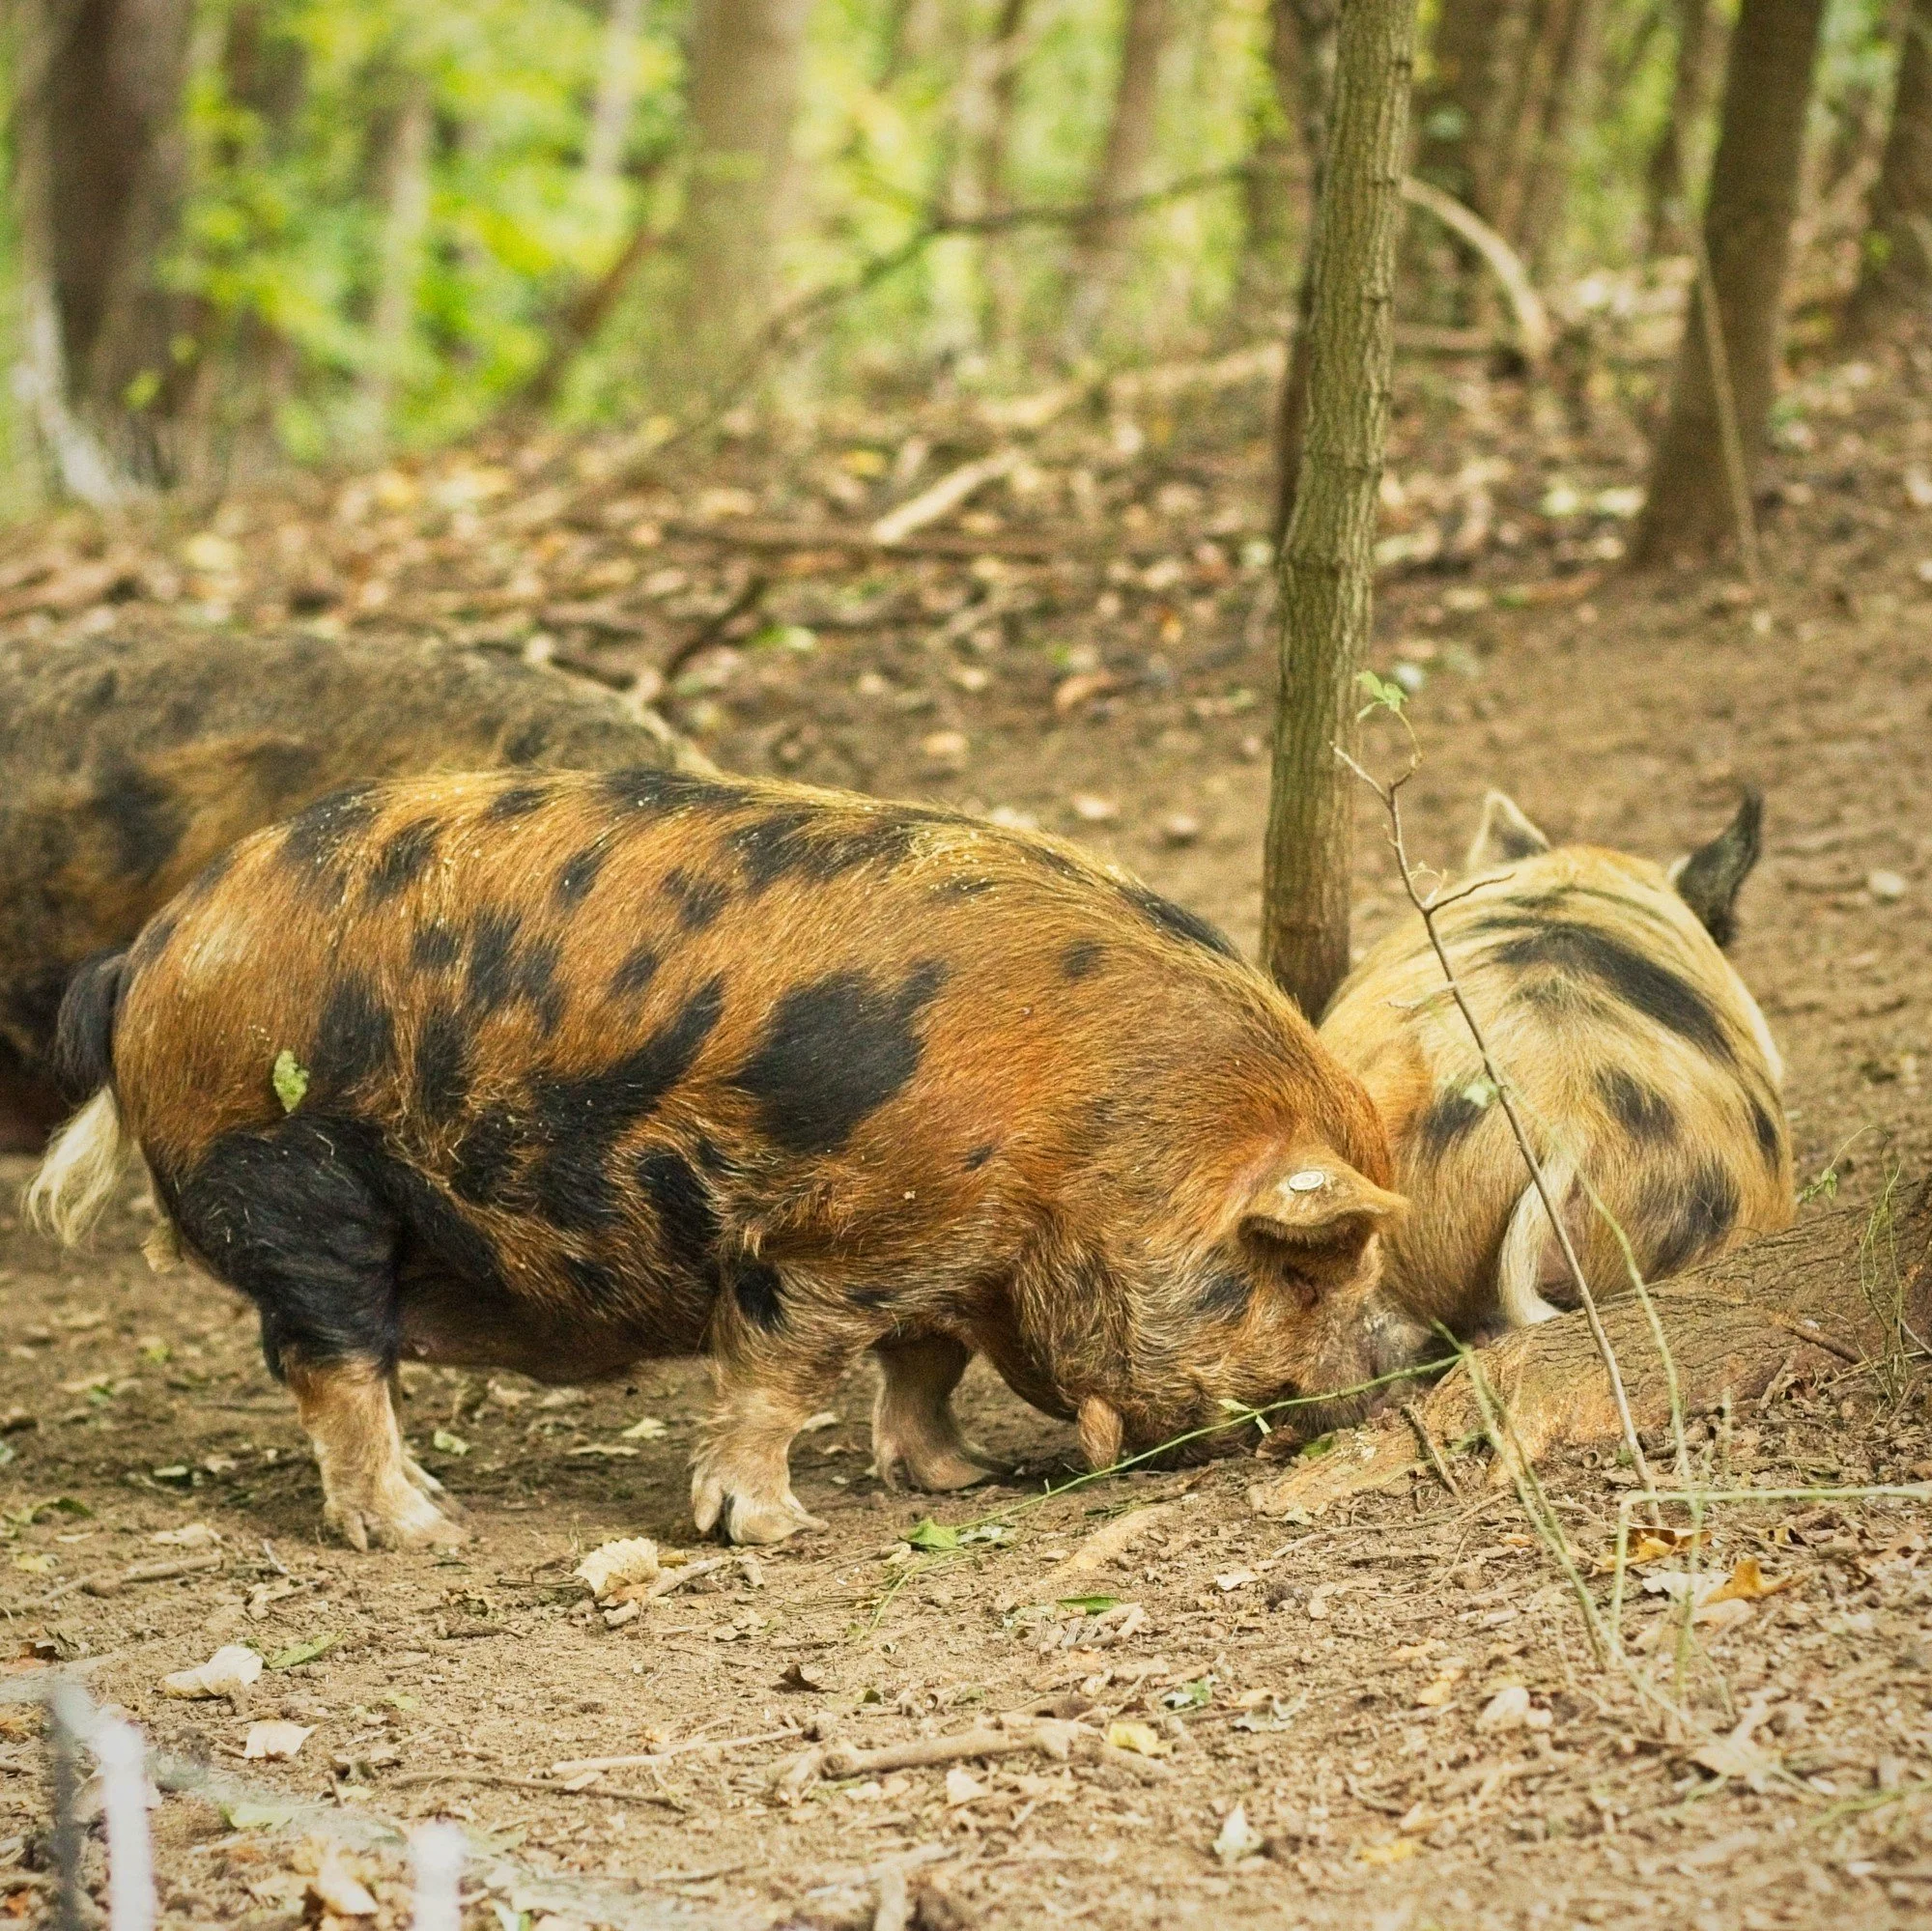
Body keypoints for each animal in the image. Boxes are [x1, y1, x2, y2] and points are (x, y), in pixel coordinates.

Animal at [27, 767, 1426, 1547]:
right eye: (1301, 1263)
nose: (1392, 1372)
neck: (1091, 1137)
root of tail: (153, 950)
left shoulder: (948, 1245)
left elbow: (921, 1360)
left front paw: (955, 1476)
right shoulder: (836, 1228)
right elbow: (784, 1363)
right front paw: (771, 1528)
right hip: (289, 1179)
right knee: (329, 1356)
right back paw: (429, 1532)